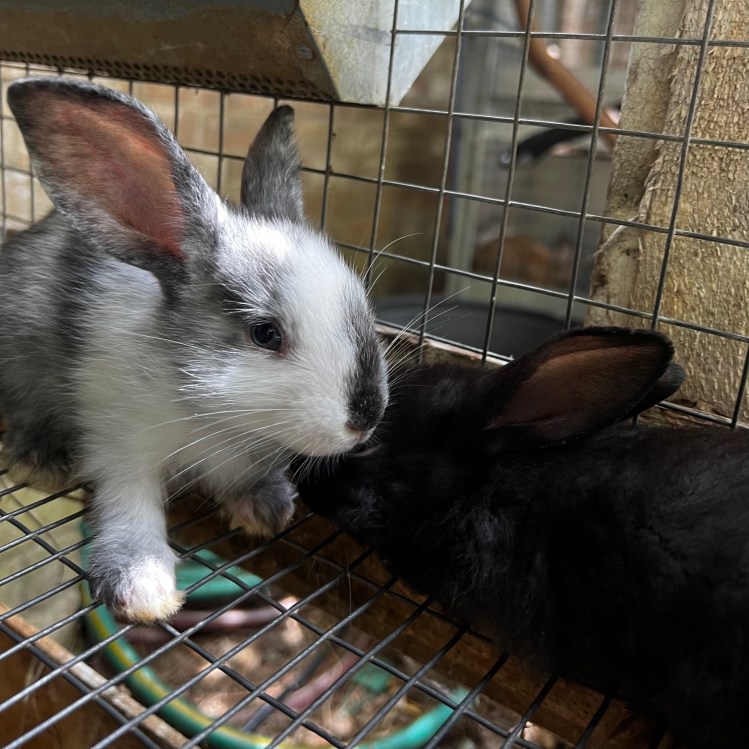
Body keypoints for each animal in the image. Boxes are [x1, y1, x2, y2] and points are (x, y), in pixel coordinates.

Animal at [0, 78, 388, 624]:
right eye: (265, 334)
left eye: (360, 300)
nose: (367, 418)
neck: (213, 416)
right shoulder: (120, 441)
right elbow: (129, 499)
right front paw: (141, 585)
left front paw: (266, 509)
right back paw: (39, 460)